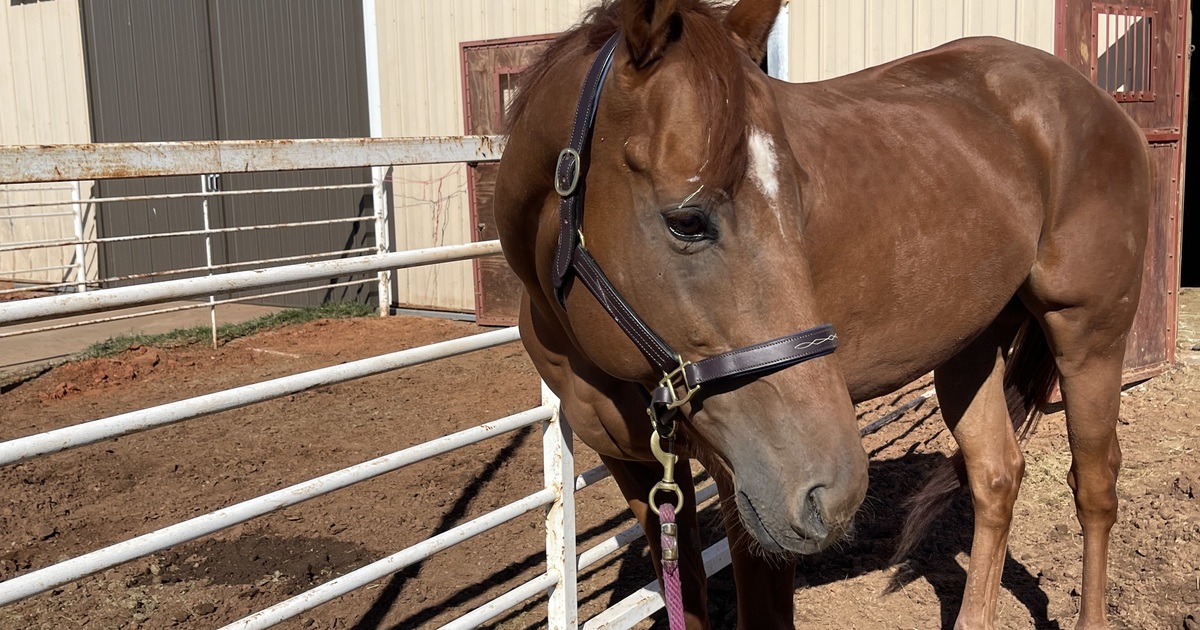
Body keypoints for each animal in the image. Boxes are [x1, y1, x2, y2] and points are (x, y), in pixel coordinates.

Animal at [493, 0, 1151, 628]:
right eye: (686, 221)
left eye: (800, 200)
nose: (833, 492)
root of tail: (1100, 102)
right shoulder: (642, 474)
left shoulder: (745, 492)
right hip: (969, 349)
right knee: (996, 476)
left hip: (1089, 335)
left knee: (1095, 485)